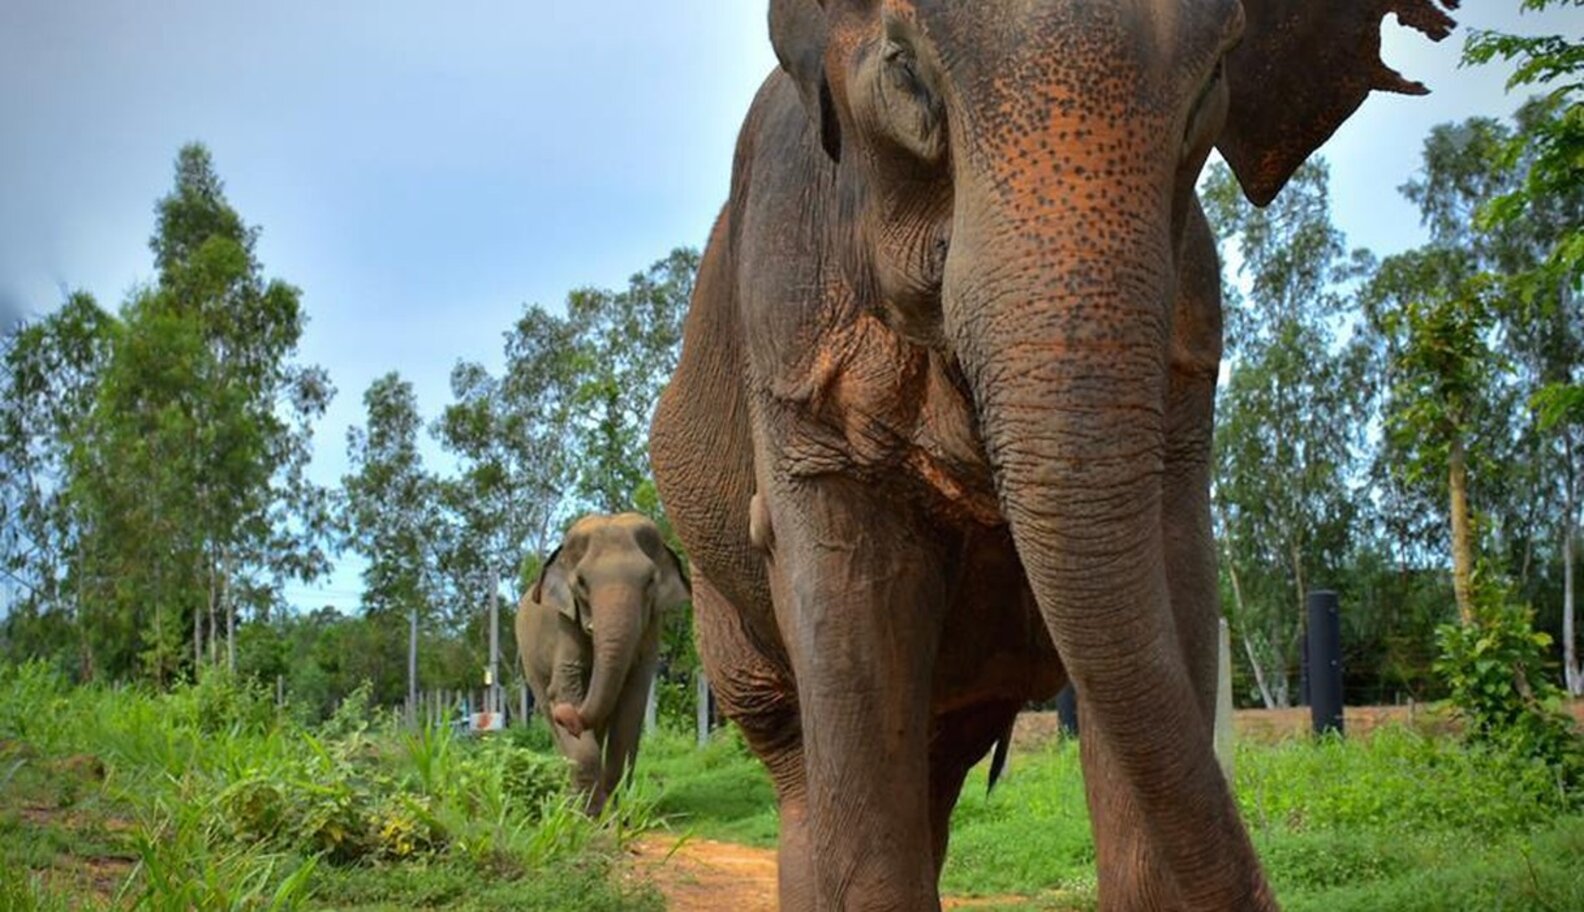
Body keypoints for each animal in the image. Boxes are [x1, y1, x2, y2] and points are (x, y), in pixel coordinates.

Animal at [515, 513, 691, 813]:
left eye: (650, 581)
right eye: (581, 582)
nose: (566, 714)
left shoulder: (651, 627)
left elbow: (631, 707)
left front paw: (616, 814)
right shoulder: (565, 622)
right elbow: (566, 685)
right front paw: (589, 817)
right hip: (530, 661)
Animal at [648, 0, 1457, 908]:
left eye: (1213, 78)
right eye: (906, 67)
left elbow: (1166, 594)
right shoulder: (790, 318)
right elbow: (849, 612)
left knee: (935, 760)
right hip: (720, 605)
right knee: (799, 764)